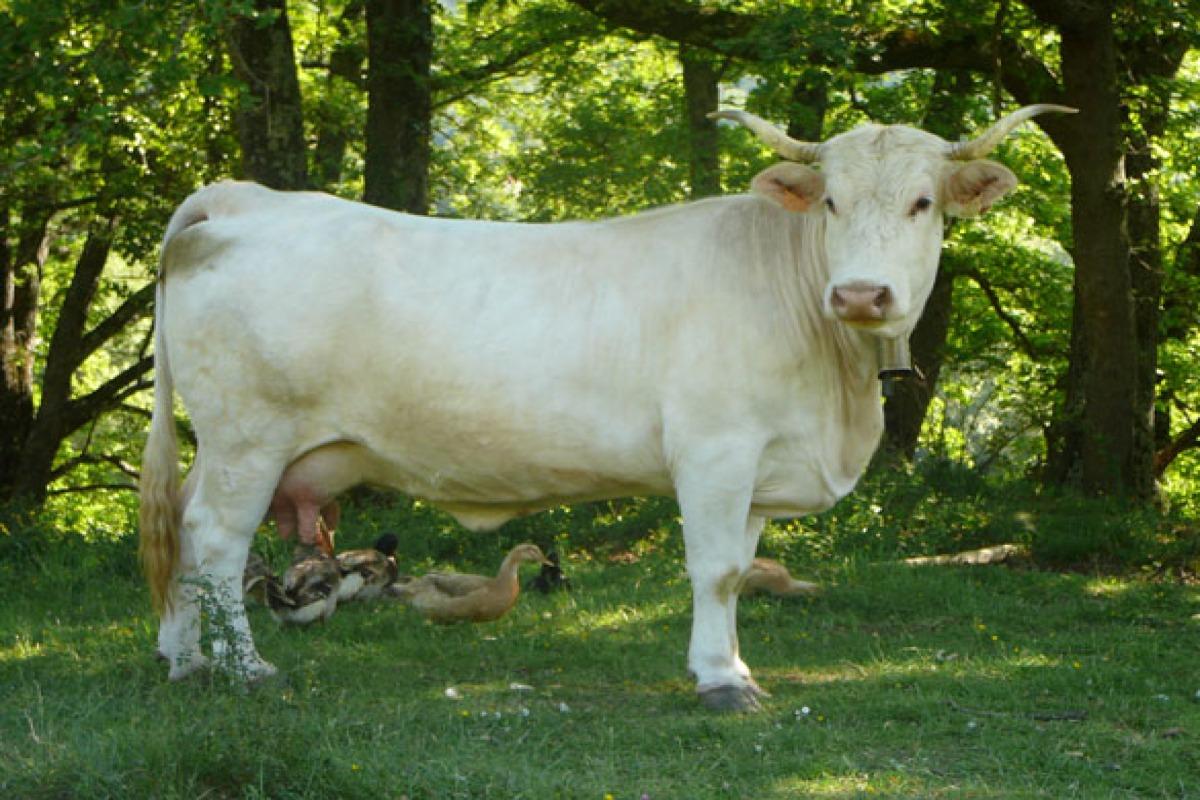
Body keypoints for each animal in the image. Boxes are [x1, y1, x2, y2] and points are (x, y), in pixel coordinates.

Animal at [139, 104, 1072, 711]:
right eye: (834, 201)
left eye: (923, 202)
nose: (862, 293)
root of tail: (248, 197)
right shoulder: (715, 451)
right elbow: (717, 570)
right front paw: (721, 682)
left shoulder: (759, 470)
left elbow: (740, 573)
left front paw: (733, 666)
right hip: (248, 439)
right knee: (216, 544)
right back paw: (243, 670)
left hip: (227, 447)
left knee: (182, 531)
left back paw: (181, 661)